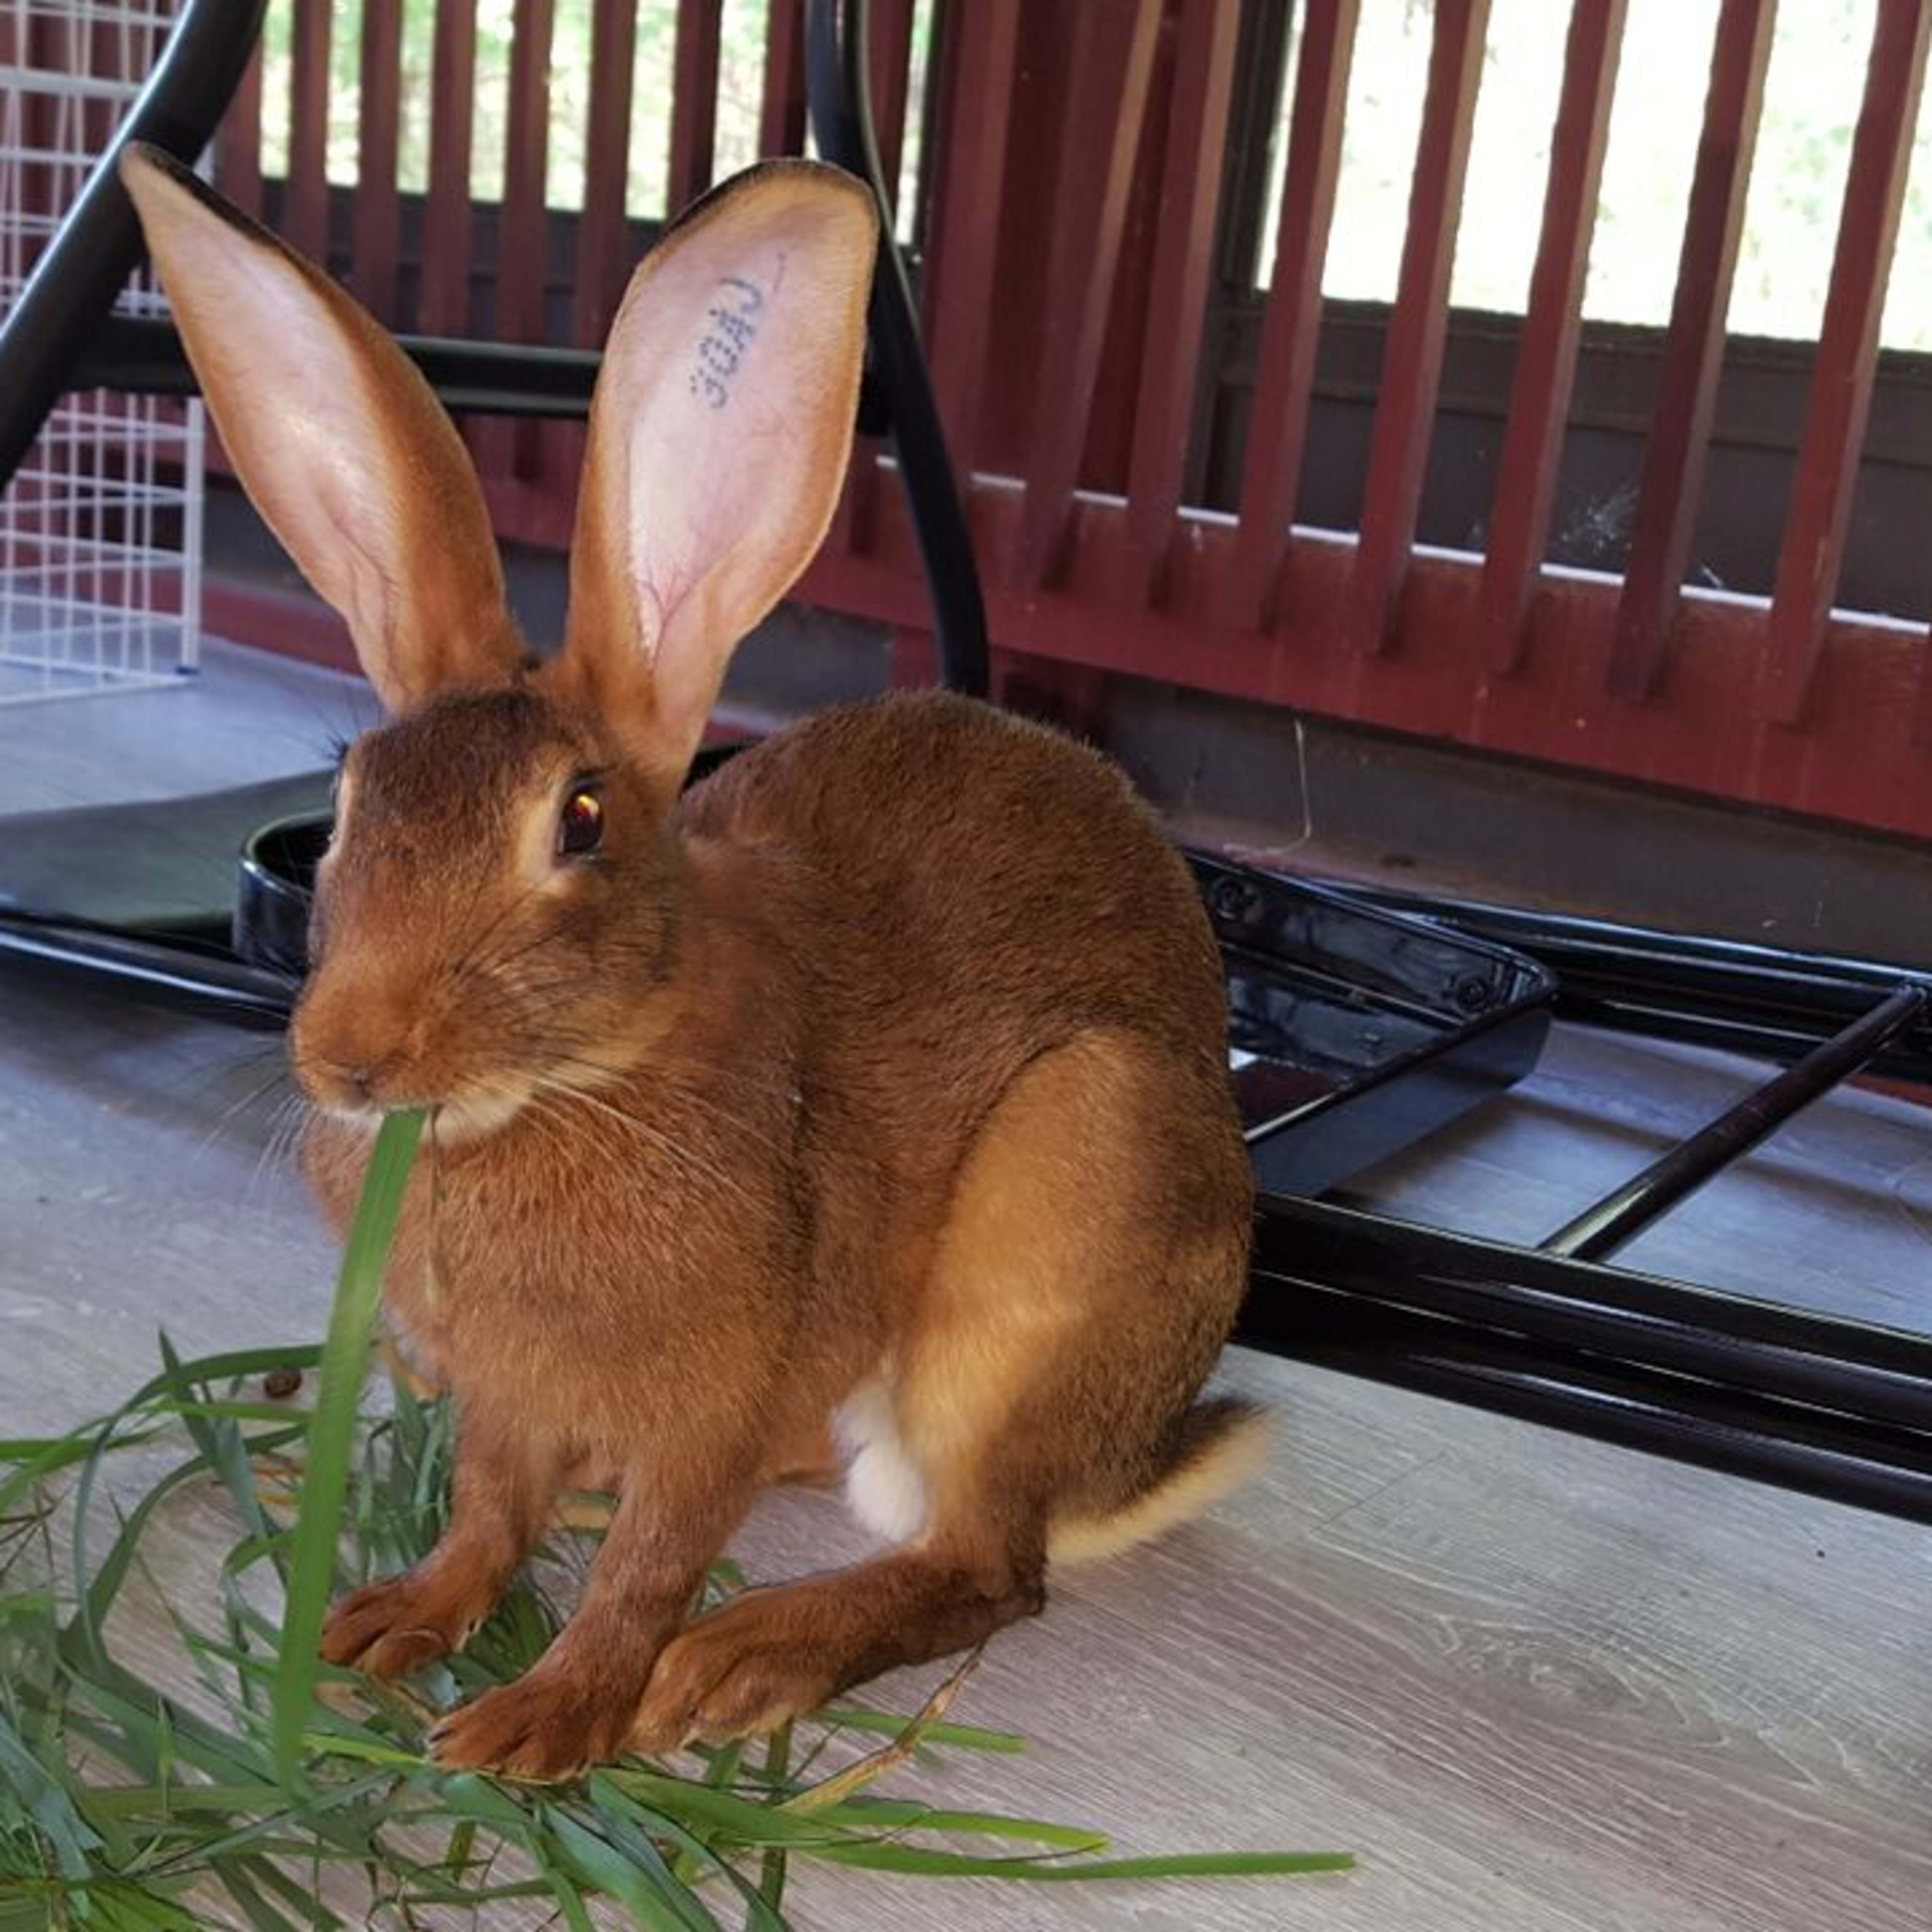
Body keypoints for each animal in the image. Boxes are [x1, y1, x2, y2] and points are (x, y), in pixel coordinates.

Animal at [121, 142, 1264, 1780]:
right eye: (343, 803)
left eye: (581, 820)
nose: (350, 1056)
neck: (577, 1080)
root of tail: (1129, 1454)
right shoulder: (508, 1395)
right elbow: (487, 1510)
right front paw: (388, 1626)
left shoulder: (714, 1402)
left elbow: (647, 1567)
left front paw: (544, 1722)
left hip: (1073, 1196)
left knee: (988, 1564)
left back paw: (743, 1662)